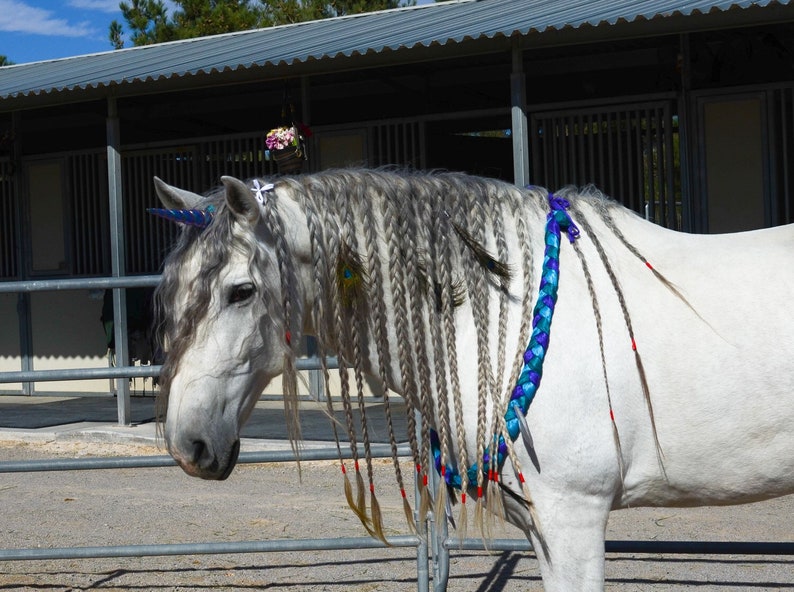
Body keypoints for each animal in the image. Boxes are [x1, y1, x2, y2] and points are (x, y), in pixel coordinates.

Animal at [151, 169, 794, 591]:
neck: (508, 308)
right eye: (173, 290)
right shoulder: (544, 527)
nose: (188, 444)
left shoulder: (576, 517)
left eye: (241, 291)